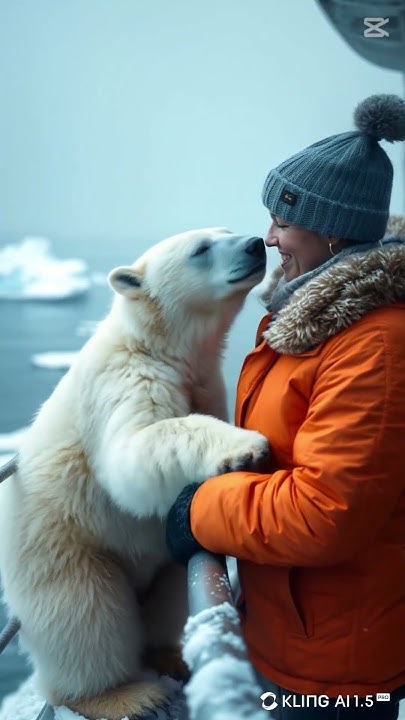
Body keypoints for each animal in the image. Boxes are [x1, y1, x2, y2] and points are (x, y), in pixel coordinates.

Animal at [0, 227, 269, 720]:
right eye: (201, 248)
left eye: (224, 233)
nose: (256, 243)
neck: (155, 343)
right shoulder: (124, 377)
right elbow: (134, 449)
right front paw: (246, 447)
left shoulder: (204, 381)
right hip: (64, 548)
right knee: (85, 614)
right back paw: (126, 695)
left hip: (156, 557)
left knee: (169, 590)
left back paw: (170, 655)